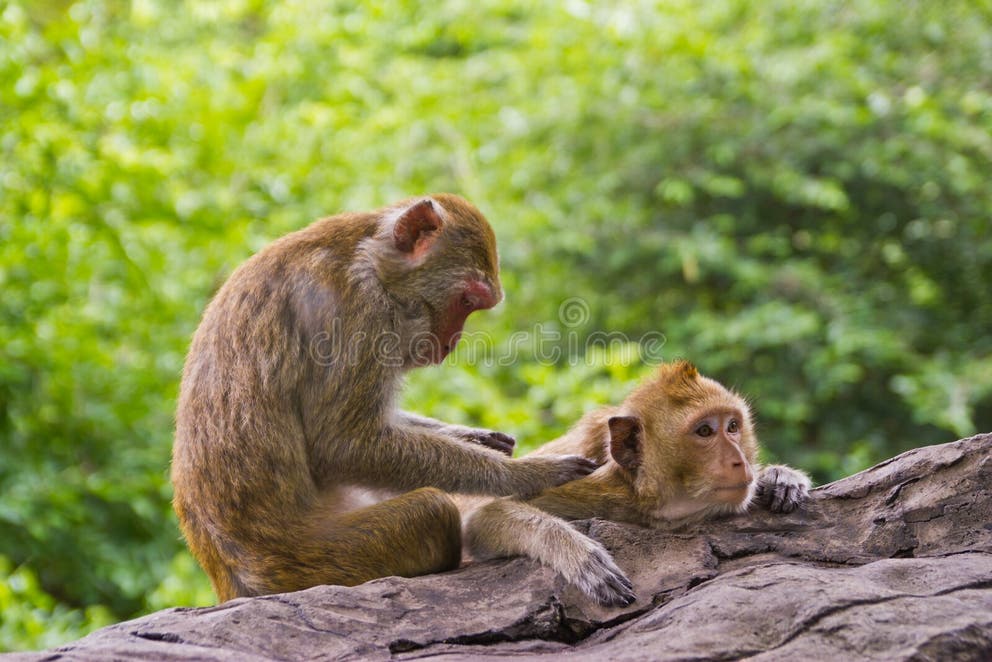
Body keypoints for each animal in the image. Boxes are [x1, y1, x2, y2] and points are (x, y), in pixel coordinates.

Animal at [171, 194, 598, 602]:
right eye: (466, 301)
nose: (451, 344)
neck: (369, 257)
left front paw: (472, 436)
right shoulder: (357, 313)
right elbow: (343, 445)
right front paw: (526, 473)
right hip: (307, 562)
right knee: (433, 511)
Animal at [461, 360, 811, 607]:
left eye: (733, 426)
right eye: (705, 431)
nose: (740, 460)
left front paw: (779, 477)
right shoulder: (596, 493)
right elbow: (480, 520)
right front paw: (580, 555)